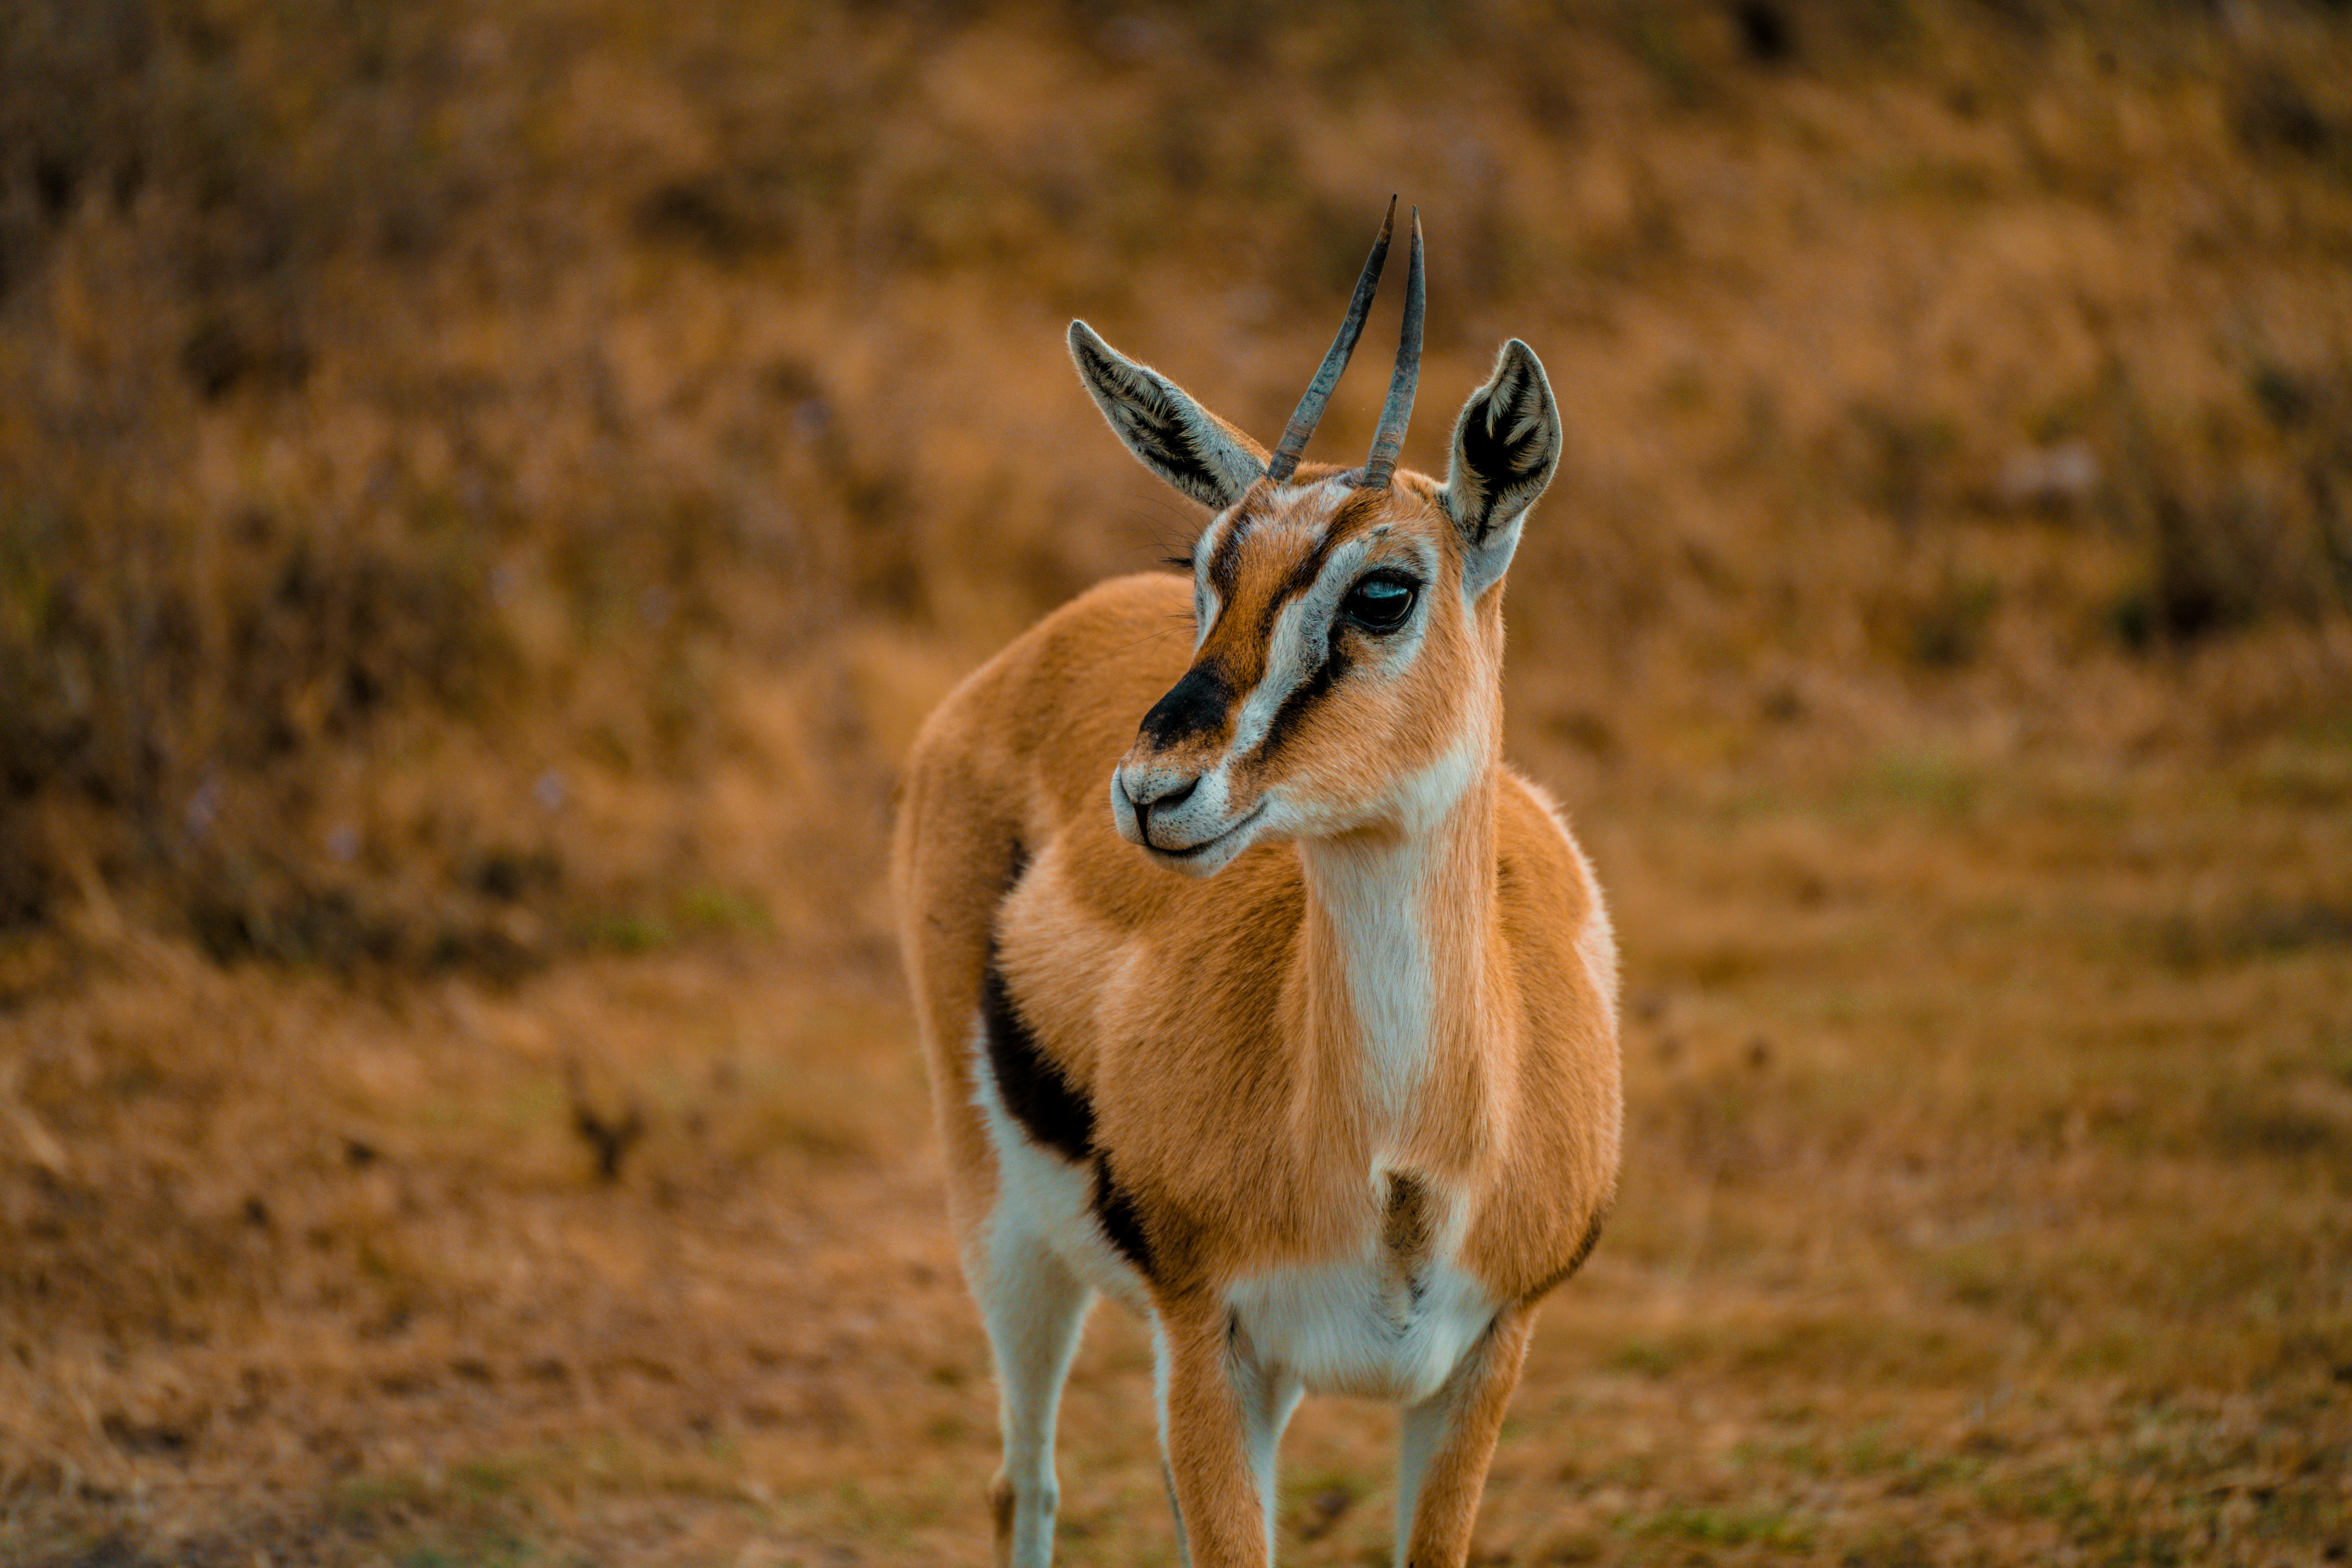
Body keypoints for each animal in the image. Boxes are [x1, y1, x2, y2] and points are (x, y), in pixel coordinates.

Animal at [890, 201, 1621, 1568]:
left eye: (1385, 590)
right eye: (1210, 570)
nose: (1150, 789)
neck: (1403, 1160)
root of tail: (1028, 653)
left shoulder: (1484, 1360)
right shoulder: (1208, 1342)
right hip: (1007, 1240)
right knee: (1024, 1485)